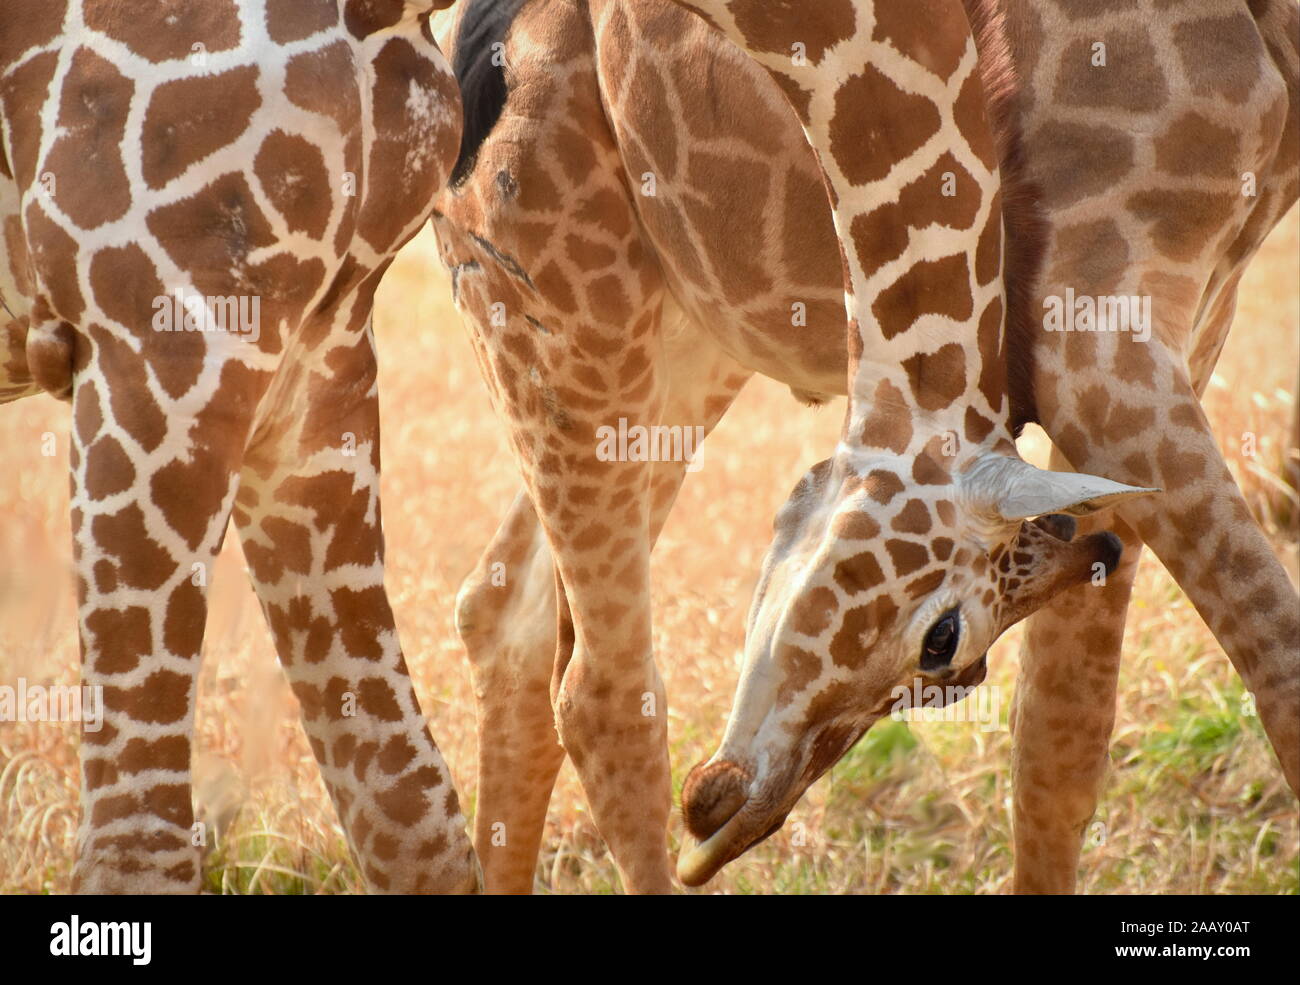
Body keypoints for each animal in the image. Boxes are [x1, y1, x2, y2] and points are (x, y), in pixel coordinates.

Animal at [430, 0, 1172, 894]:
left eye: (966, 677)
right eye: (946, 644)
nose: (725, 821)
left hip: (653, 356)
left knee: (509, 617)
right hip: (577, 336)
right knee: (598, 689)